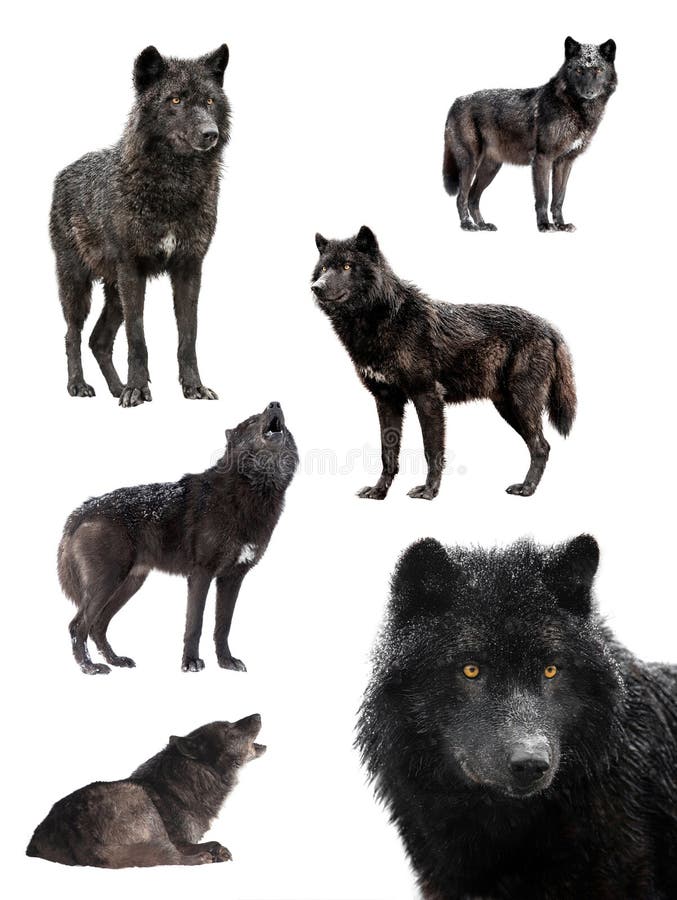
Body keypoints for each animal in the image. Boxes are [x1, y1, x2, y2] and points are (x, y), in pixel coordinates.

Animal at [27, 715, 265, 867]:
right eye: (228, 729)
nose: (258, 714)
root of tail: (76, 829)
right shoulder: (178, 839)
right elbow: (199, 844)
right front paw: (215, 851)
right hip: (139, 798)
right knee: (172, 859)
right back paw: (200, 859)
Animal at [50, 44, 231, 406]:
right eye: (175, 100)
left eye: (209, 101)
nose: (211, 134)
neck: (174, 186)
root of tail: (63, 172)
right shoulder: (132, 270)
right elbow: (137, 337)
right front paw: (137, 388)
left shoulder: (189, 268)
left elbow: (188, 336)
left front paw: (194, 387)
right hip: (77, 284)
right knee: (72, 335)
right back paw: (80, 386)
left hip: (114, 292)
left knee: (99, 340)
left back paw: (117, 388)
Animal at [58, 403, 298, 674]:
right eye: (251, 421)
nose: (274, 404)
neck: (251, 489)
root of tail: (82, 511)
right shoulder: (201, 574)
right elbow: (195, 624)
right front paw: (190, 662)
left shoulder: (232, 578)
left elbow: (223, 626)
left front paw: (226, 662)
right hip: (108, 583)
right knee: (78, 625)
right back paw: (90, 667)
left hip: (128, 585)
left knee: (98, 625)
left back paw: (116, 660)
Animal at [311, 227, 575, 499]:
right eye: (323, 268)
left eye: (346, 266)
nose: (316, 287)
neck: (383, 319)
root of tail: (549, 327)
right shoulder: (386, 399)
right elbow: (388, 453)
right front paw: (379, 491)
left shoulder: (428, 396)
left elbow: (432, 450)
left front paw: (429, 490)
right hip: (507, 406)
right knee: (541, 446)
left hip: (521, 404)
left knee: (541, 446)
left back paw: (526, 488)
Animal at [443, 37, 617, 232]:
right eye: (579, 70)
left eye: (598, 69)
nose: (589, 92)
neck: (573, 107)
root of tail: (456, 102)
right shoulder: (542, 159)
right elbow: (543, 197)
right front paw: (544, 225)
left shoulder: (564, 162)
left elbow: (559, 197)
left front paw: (561, 225)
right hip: (470, 163)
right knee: (461, 197)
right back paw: (467, 225)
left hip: (490, 168)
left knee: (473, 197)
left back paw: (483, 225)